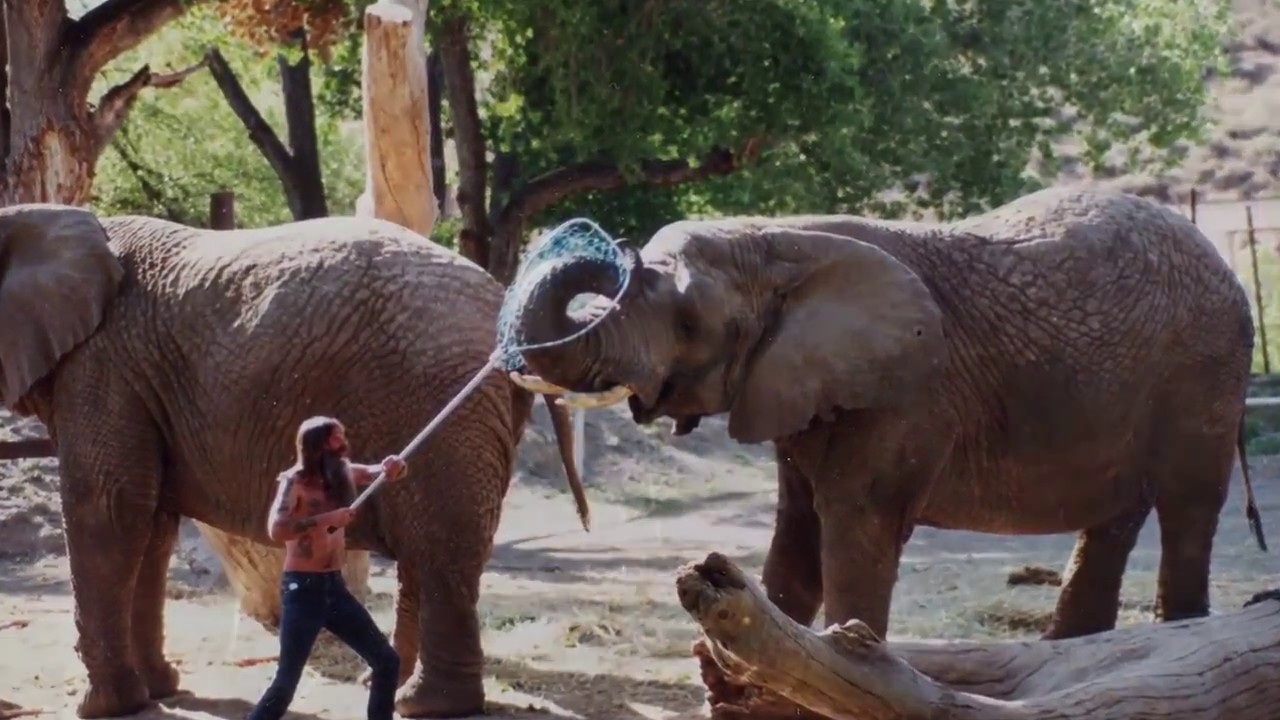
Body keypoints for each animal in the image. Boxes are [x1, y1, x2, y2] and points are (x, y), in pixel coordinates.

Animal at [0, 204, 591, 719]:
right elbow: (152, 523)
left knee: (440, 547)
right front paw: (158, 691)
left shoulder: (102, 365)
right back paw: (388, 684)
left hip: (442, 401)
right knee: (424, 551)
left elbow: (107, 508)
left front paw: (103, 708)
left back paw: (429, 706)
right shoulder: (132, 377)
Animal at [507, 186, 1269, 645]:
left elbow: (855, 538)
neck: (778, 238)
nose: (614, 250)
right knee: (1116, 517)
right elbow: (796, 544)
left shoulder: (905, 393)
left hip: (1204, 370)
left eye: (690, 322)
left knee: (1187, 508)